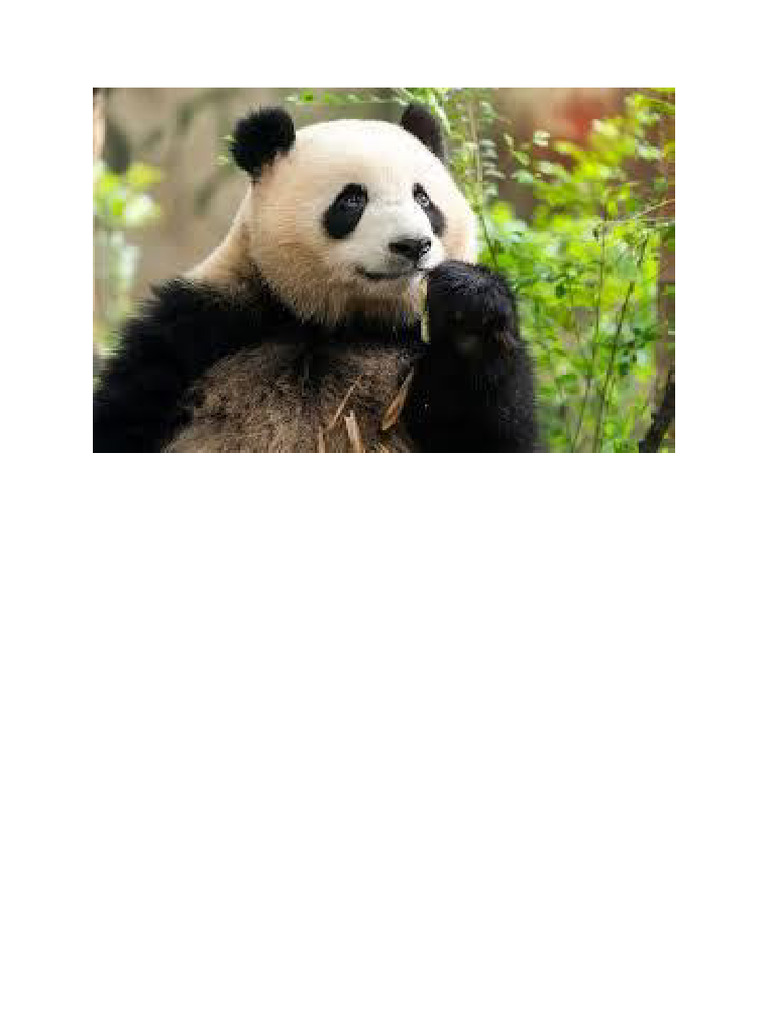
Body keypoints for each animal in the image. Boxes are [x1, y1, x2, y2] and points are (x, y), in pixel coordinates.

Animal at [93, 103, 541, 453]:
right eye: (352, 199)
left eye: (424, 199)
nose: (413, 246)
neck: (335, 323)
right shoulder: (207, 323)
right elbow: (125, 414)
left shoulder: (409, 357)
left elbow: (489, 431)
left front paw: (469, 307)